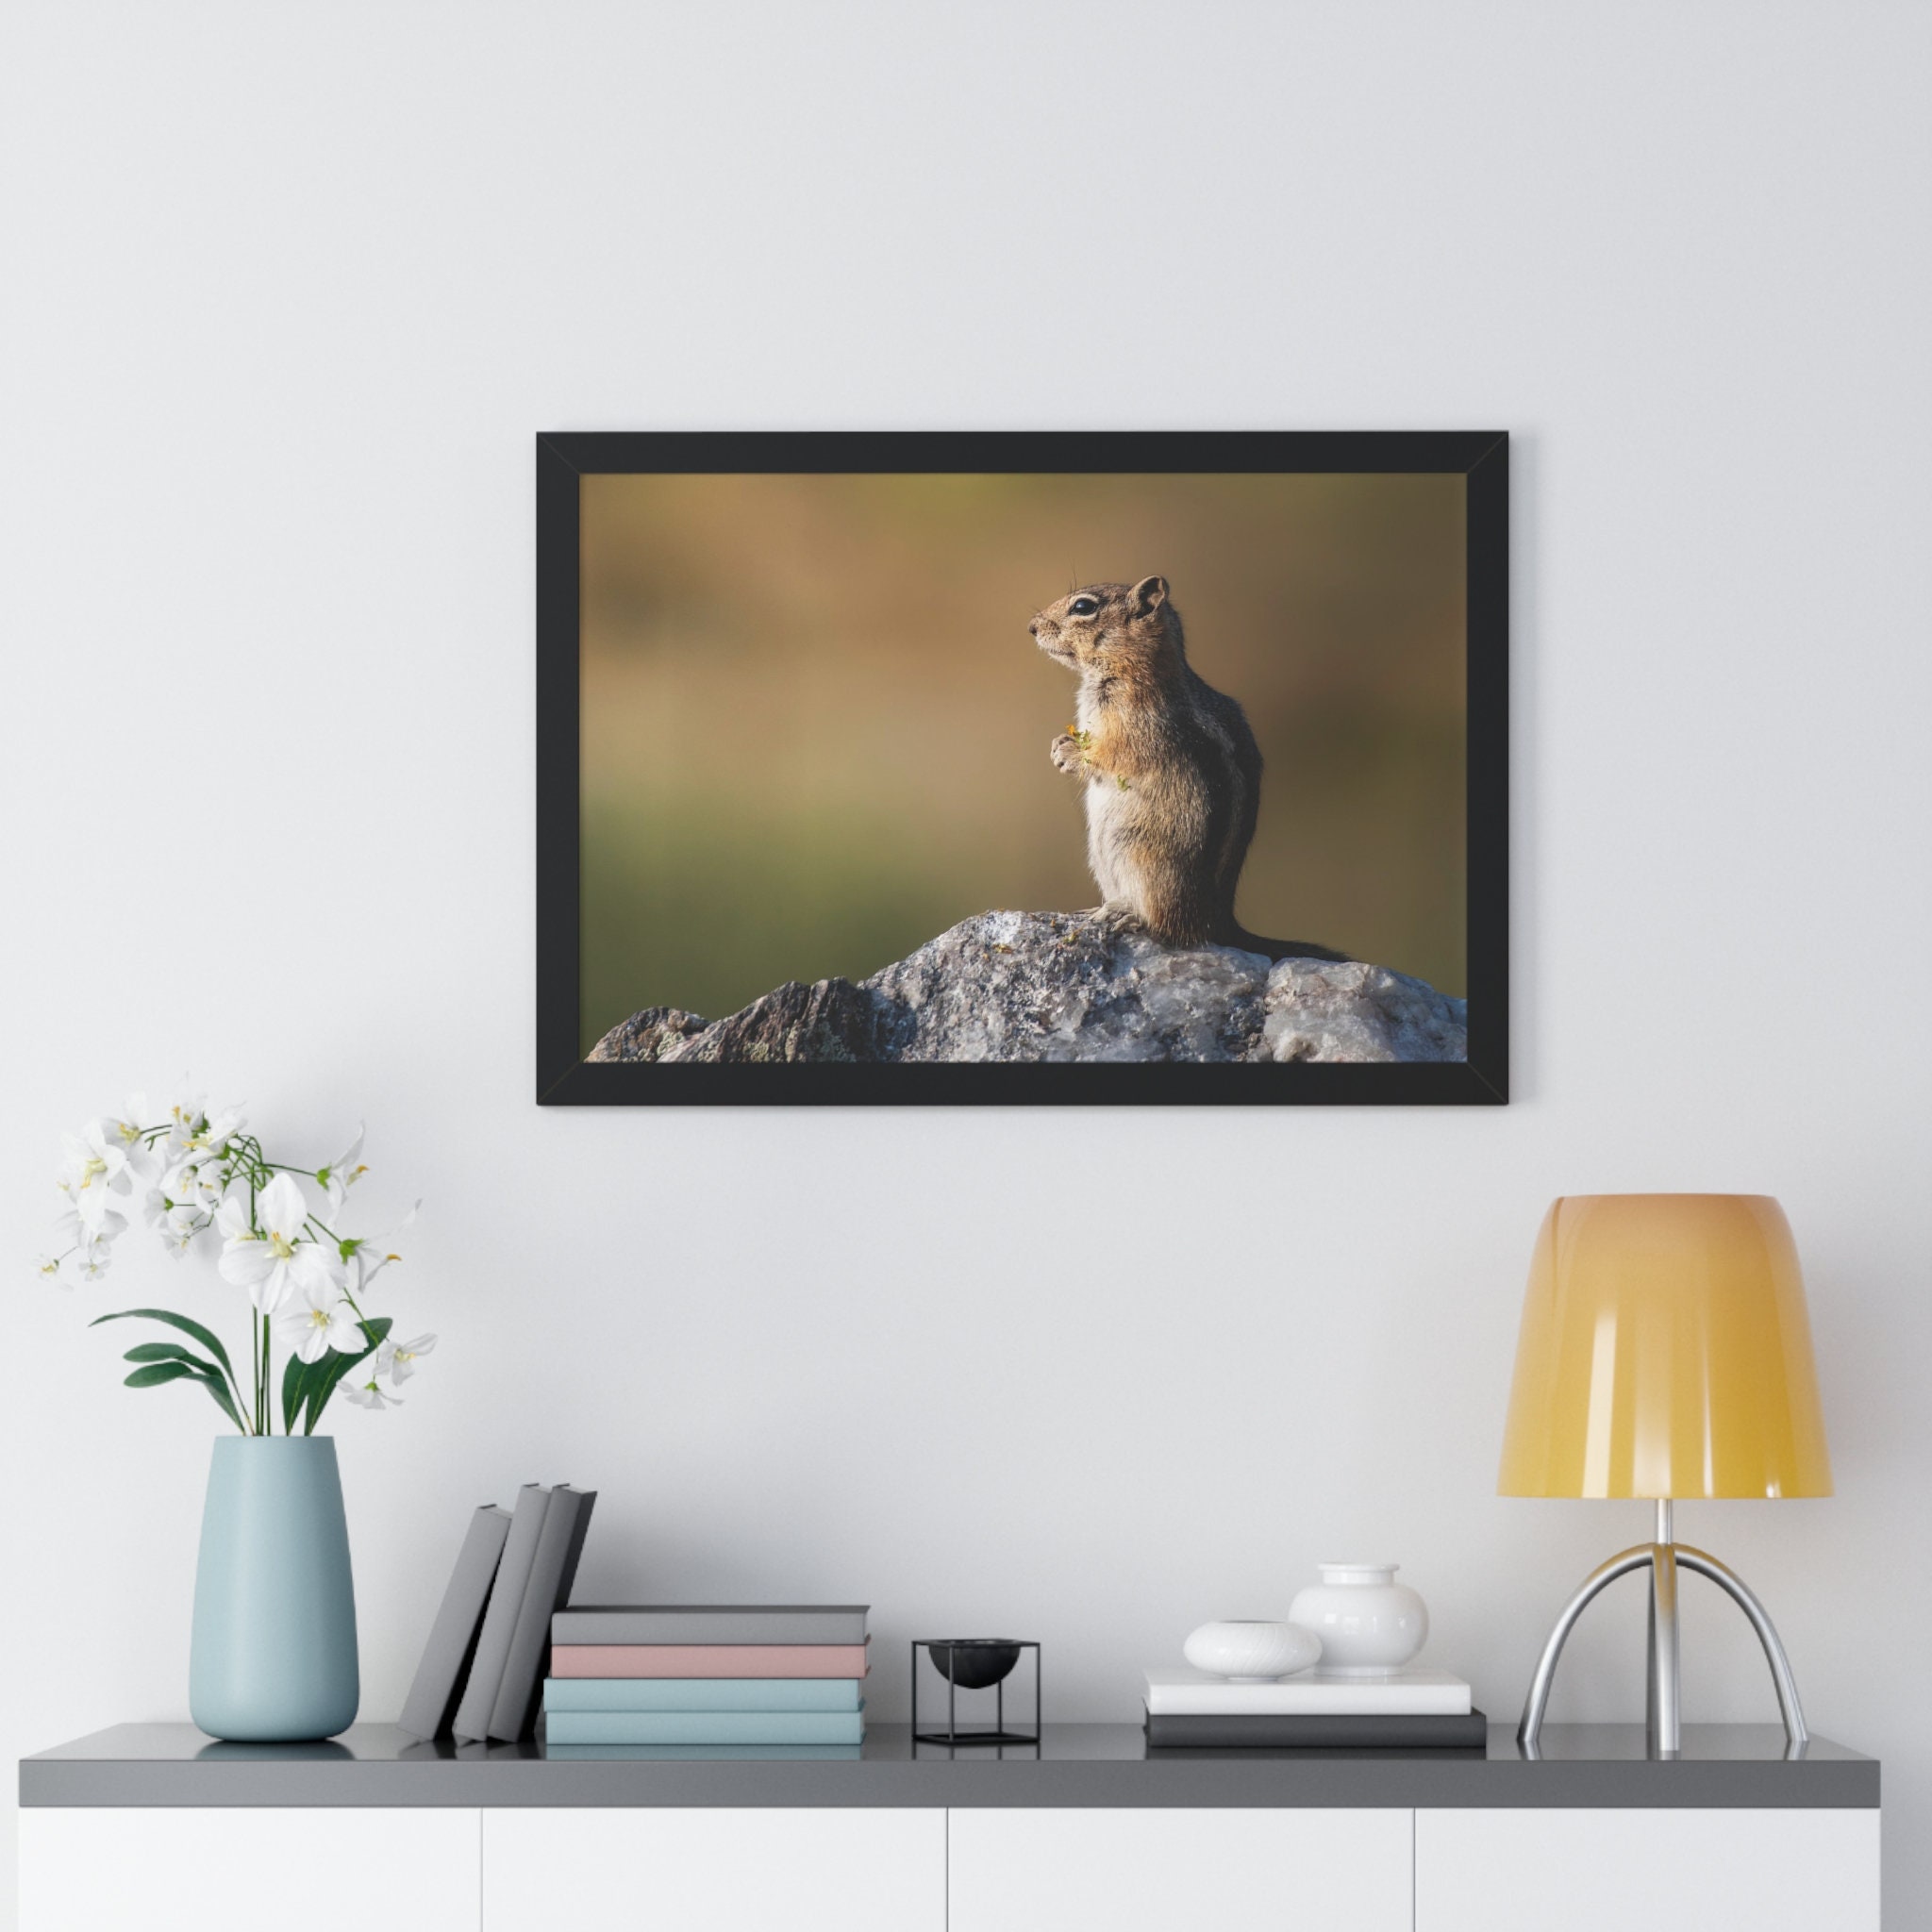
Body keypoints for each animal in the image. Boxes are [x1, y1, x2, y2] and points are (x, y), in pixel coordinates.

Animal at [1030, 576, 1349, 963]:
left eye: (1082, 607)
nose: (1032, 627)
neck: (1134, 668)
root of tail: (1217, 919)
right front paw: (1058, 744)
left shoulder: (1137, 729)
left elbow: (1111, 757)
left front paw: (1068, 754)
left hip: (1145, 861)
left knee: (1169, 927)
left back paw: (1126, 916)